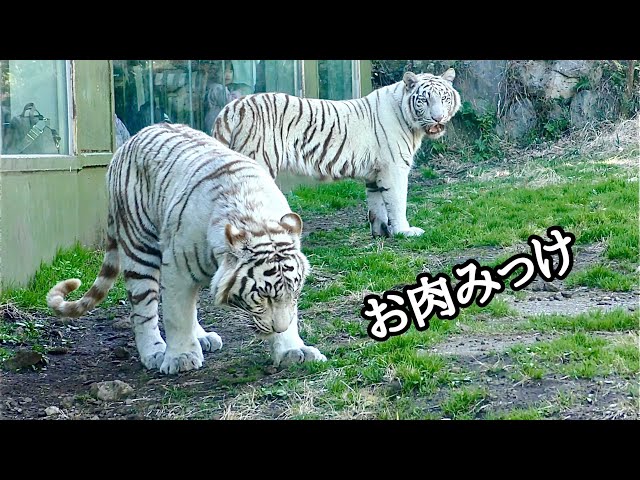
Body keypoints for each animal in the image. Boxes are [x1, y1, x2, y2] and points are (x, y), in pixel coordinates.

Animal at [46, 123, 326, 375]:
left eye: (295, 292)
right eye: (263, 296)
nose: (278, 329)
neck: (256, 219)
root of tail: (128, 141)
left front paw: (292, 350)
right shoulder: (177, 269)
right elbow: (177, 315)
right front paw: (181, 357)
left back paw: (202, 337)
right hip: (139, 247)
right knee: (144, 309)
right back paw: (155, 351)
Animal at [213, 68, 461, 238]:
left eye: (444, 98)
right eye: (424, 100)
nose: (438, 118)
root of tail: (232, 107)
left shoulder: (375, 173)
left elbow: (377, 205)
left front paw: (382, 234)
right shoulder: (394, 168)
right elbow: (397, 201)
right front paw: (405, 232)